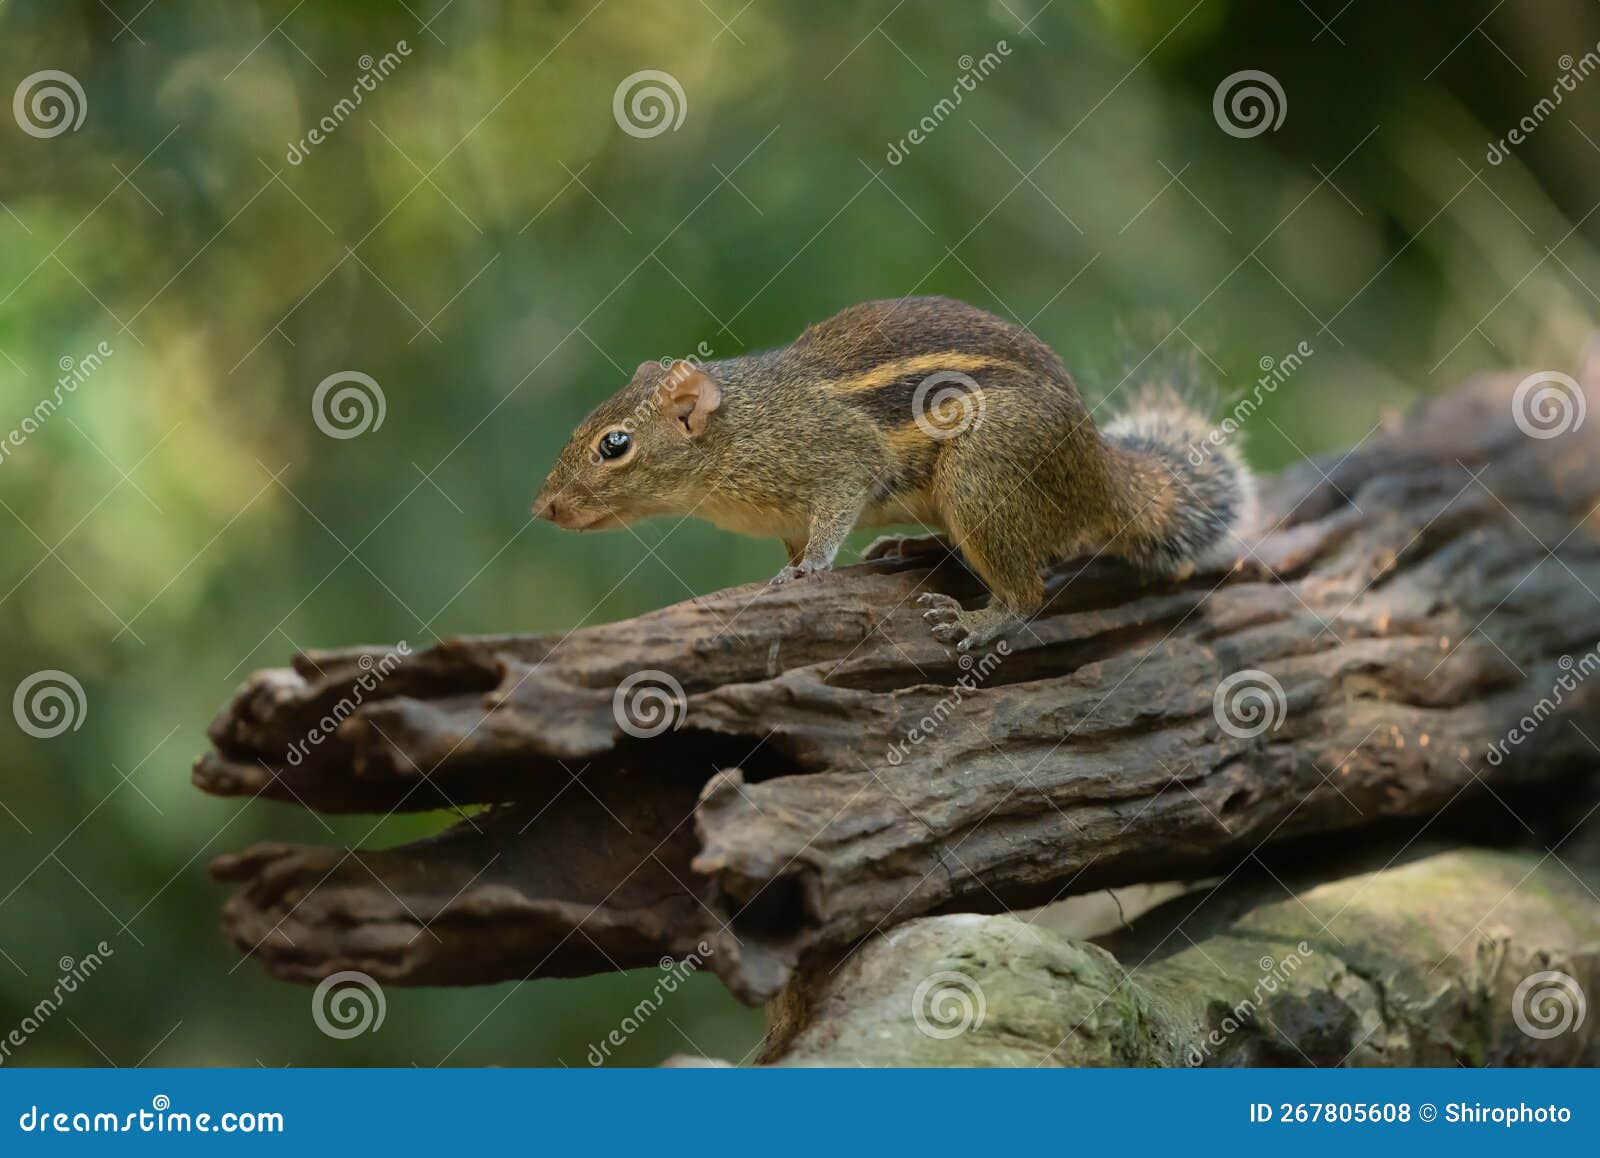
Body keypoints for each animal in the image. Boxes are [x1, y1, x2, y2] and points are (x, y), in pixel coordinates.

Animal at [533, 296, 1254, 651]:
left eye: (614, 445)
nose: (544, 509)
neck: (745, 428)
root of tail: (1100, 472)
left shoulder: (838, 460)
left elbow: (828, 523)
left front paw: (808, 570)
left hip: (979, 477)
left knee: (1028, 593)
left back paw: (977, 623)